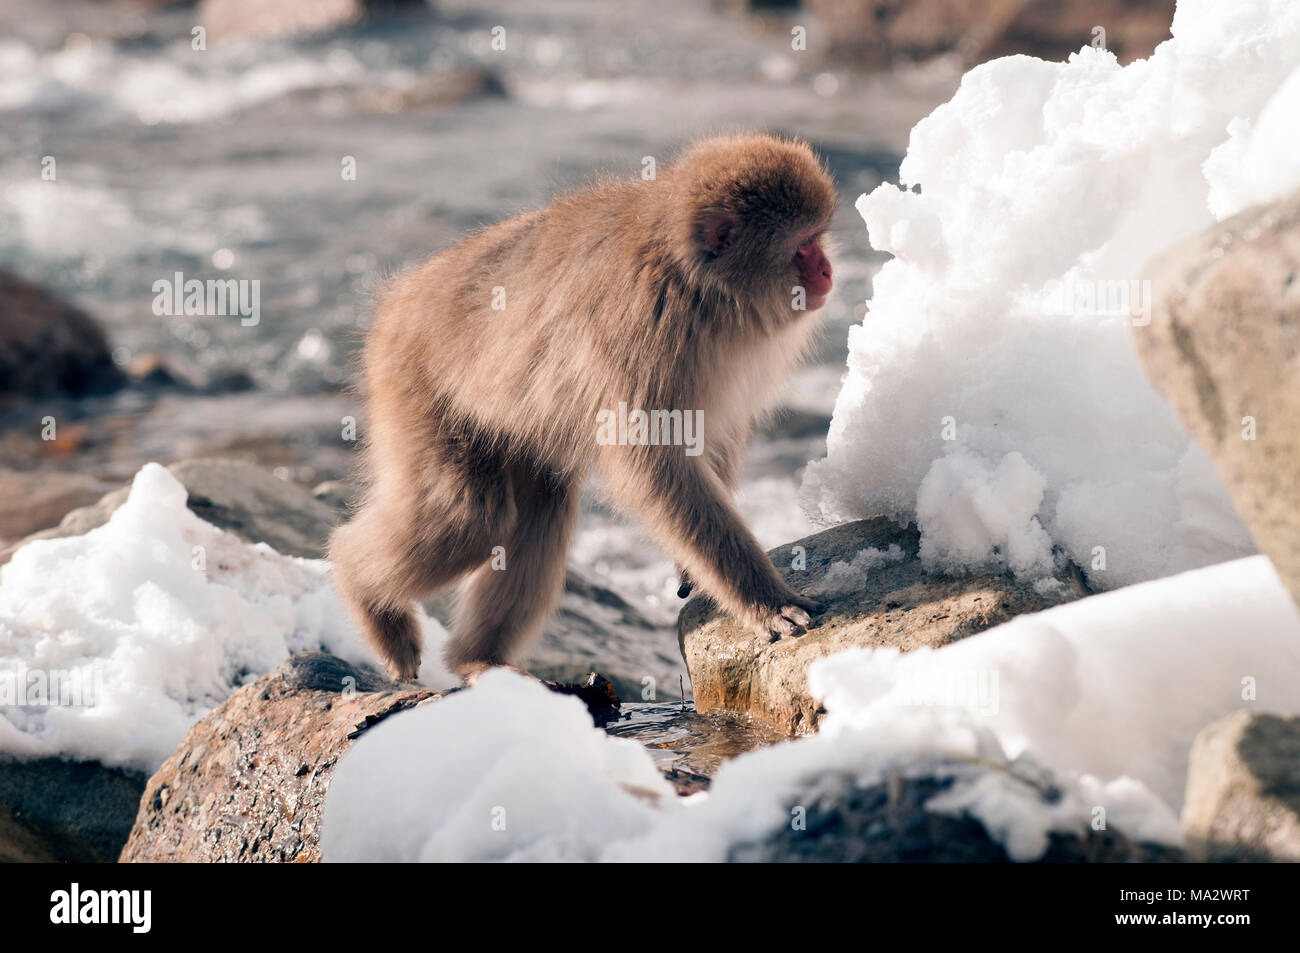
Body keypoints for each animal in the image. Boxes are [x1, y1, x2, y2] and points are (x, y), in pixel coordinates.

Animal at [329, 132, 837, 682]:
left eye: (818, 238)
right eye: (803, 245)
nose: (827, 270)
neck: (700, 286)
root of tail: (400, 297)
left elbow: (709, 436)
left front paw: (692, 569)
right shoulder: (645, 330)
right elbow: (651, 464)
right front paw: (764, 601)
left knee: (538, 503)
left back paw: (479, 658)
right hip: (411, 387)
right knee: (471, 520)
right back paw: (360, 586)